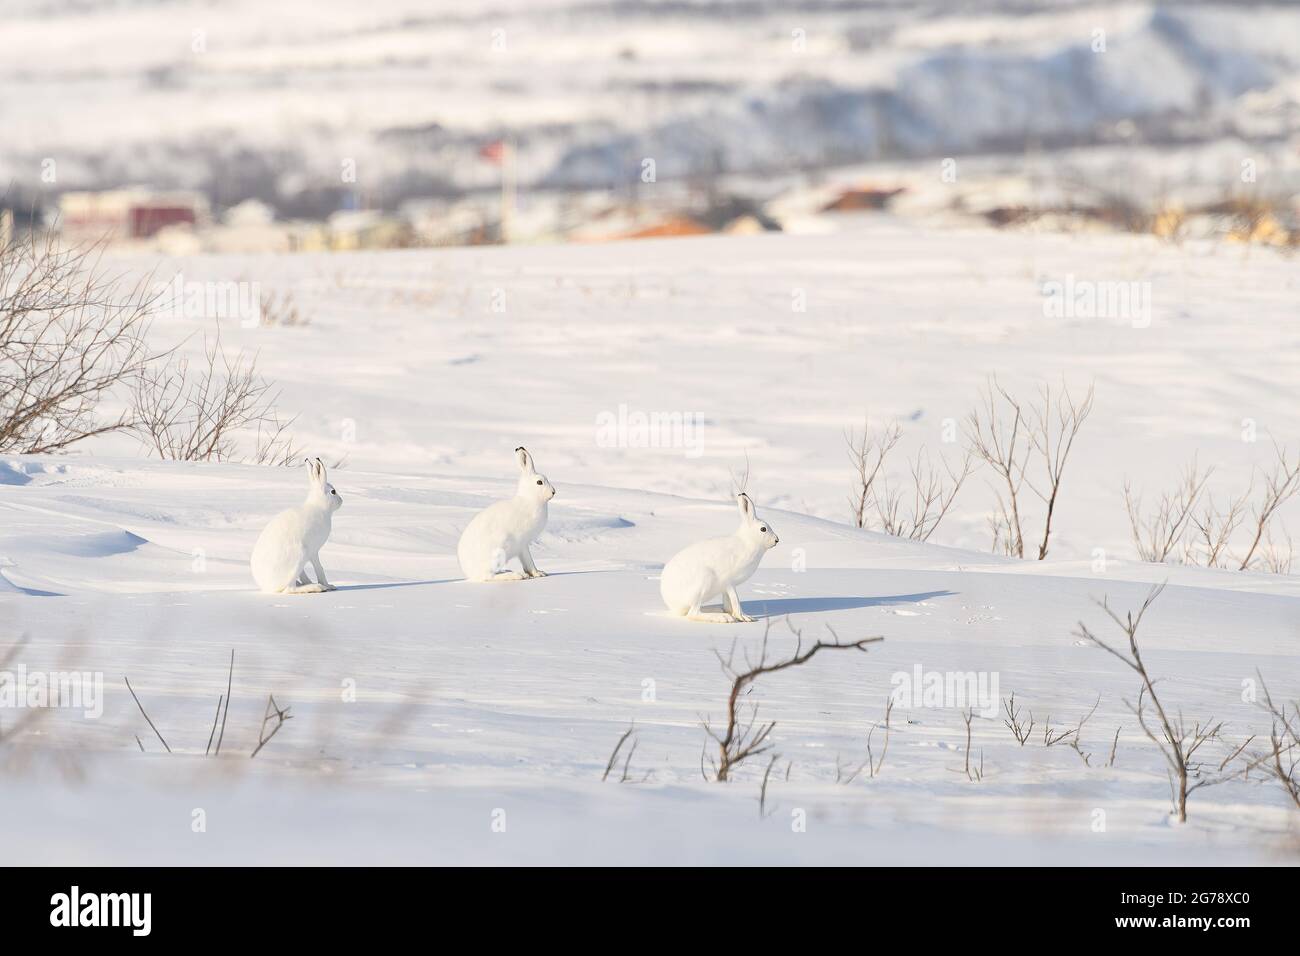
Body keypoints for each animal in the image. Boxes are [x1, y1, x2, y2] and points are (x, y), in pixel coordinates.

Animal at [250, 457, 343, 594]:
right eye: (333, 492)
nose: (341, 501)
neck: (319, 506)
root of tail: (269, 586)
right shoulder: (314, 551)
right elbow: (319, 568)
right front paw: (329, 585)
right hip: (299, 556)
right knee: (290, 589)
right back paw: (316, 587)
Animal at [457, 446, 556, 582]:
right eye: (539, 482)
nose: (553, 492)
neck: (529, 500)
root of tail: (471, 573)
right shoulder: (523, 543)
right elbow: (529, 561)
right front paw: (538, 574)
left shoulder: (522, 547)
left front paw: (538, 573)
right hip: (498, 552)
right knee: (489, 576)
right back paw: (516, 575)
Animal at [660, 492, 779, 623]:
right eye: (763, 529)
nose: (776, 540)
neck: (748, 541)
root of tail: (671, 603)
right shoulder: (729, 582)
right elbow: (735, 600)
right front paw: (744, 617)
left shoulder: (725, 588)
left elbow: (728, 602)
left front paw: (733, 613)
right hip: (703, 582)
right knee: (693, 613)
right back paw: (722, 617)